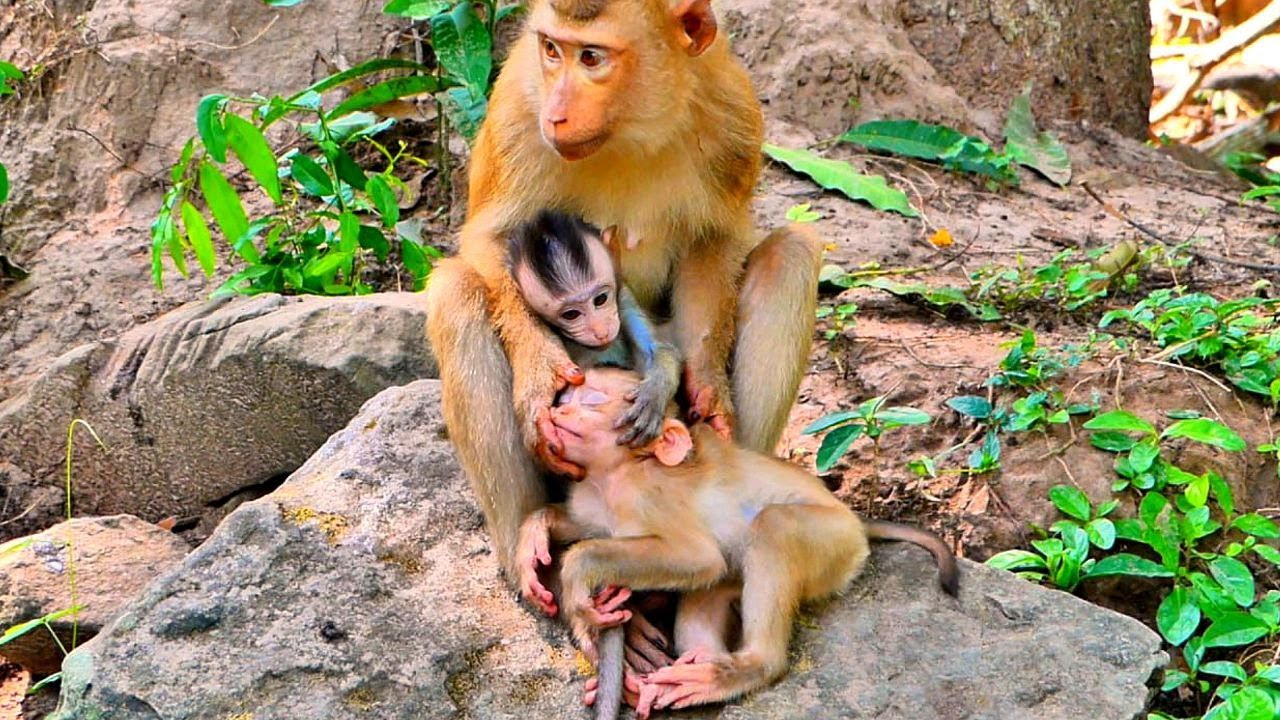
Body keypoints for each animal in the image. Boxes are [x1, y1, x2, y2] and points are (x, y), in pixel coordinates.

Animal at [507, 209, 681, 448]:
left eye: (600, 299)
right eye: (571, 314)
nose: (600, 331)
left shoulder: (623, 298)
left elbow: (656, 350)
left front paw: (654, 393)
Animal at [516, 368, 960, 717]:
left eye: (592, 401)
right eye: (565, 398)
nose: (559, 411)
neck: (610, 478)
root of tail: (855, 521)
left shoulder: (647, 492)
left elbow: (699, 558)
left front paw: (579, 573)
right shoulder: (590, 499)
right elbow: (585, 528)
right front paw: (538, 534)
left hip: (834, 543)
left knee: (774, 526)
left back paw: (749, 668)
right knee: (709, 595)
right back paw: (685, 671)